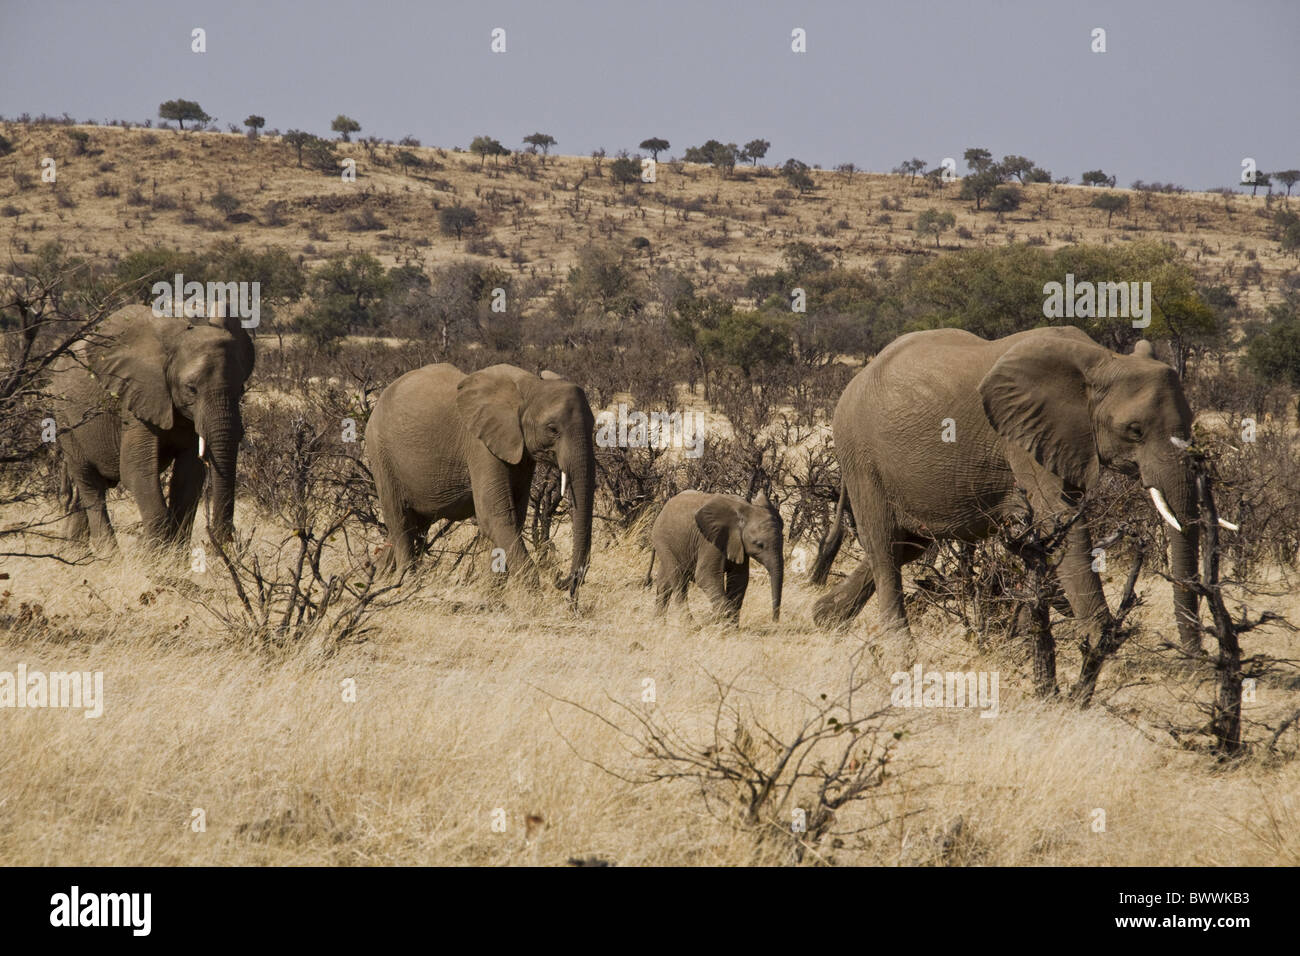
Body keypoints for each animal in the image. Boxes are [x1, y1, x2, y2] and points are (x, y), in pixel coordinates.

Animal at [50, 303, 255, 553]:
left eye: (241, 388)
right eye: (191, 389)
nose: (222, 541)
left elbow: (188, 477)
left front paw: (172, 557)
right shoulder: (137, 397)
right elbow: (135, 469)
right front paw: (152, 556)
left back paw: (74, 552)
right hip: (65, 418)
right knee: (90, 483)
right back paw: (110, 556)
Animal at [364, 363, 596, 596]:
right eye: (552, 429)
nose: (562, 578)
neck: (529, 386)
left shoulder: (520, 452)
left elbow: (514, 516)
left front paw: (492, 595)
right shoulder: (480, 445)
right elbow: (495, 515)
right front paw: (532, 597)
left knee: (417, 525)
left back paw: (382, 577)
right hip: (381, 453)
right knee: (400, 521)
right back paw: (406, 584)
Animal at [646, 490, 784, 623]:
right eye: (759, 544)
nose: (774, 621)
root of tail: (664, 508)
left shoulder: (738, 544)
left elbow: (739, 579)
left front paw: (728, 625)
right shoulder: (710, 542)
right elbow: (705, 575)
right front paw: (720, 619)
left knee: (664, 583)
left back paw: (658, 624)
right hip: (663, 541)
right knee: (679, 580)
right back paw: (691, 625)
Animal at [812, 326, 1226, 654]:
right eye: (1134, 431)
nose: (1196, 658)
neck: (1102, 360)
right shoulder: (1022, 435)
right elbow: (1061, 523)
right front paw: (1103, 646)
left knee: (906, 546)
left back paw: (824, 618)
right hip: (860, 456)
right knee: (883, 545)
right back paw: (900, 653)